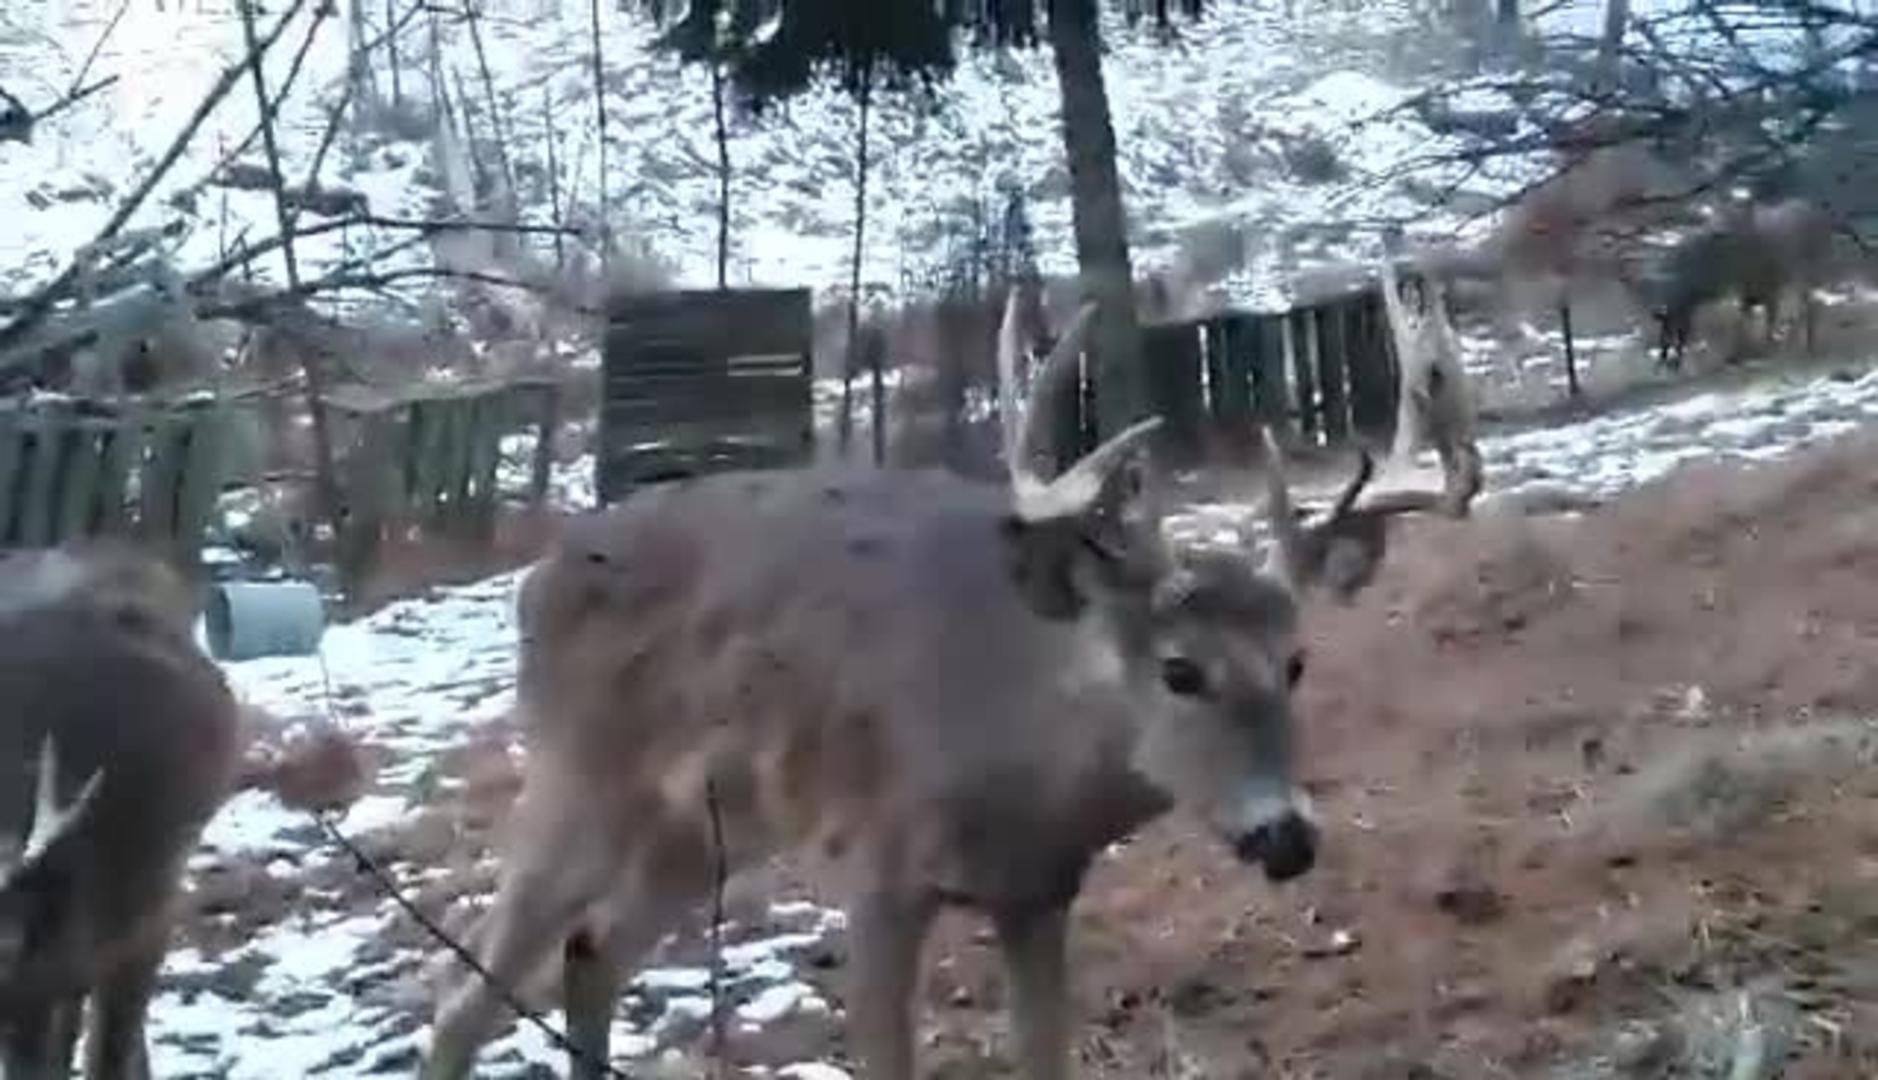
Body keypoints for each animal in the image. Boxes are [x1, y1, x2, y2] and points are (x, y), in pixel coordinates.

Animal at [418, 287, 1485, 1080]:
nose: (1286, 837)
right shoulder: (880, 864)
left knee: (590, 956)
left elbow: (1045, 1059)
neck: (1020, 764)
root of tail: (538, 577)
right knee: (461, 1004)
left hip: (699, 828)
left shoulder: (1039, 891)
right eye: (1179, 668)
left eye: (1297, 662)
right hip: (577, 777)